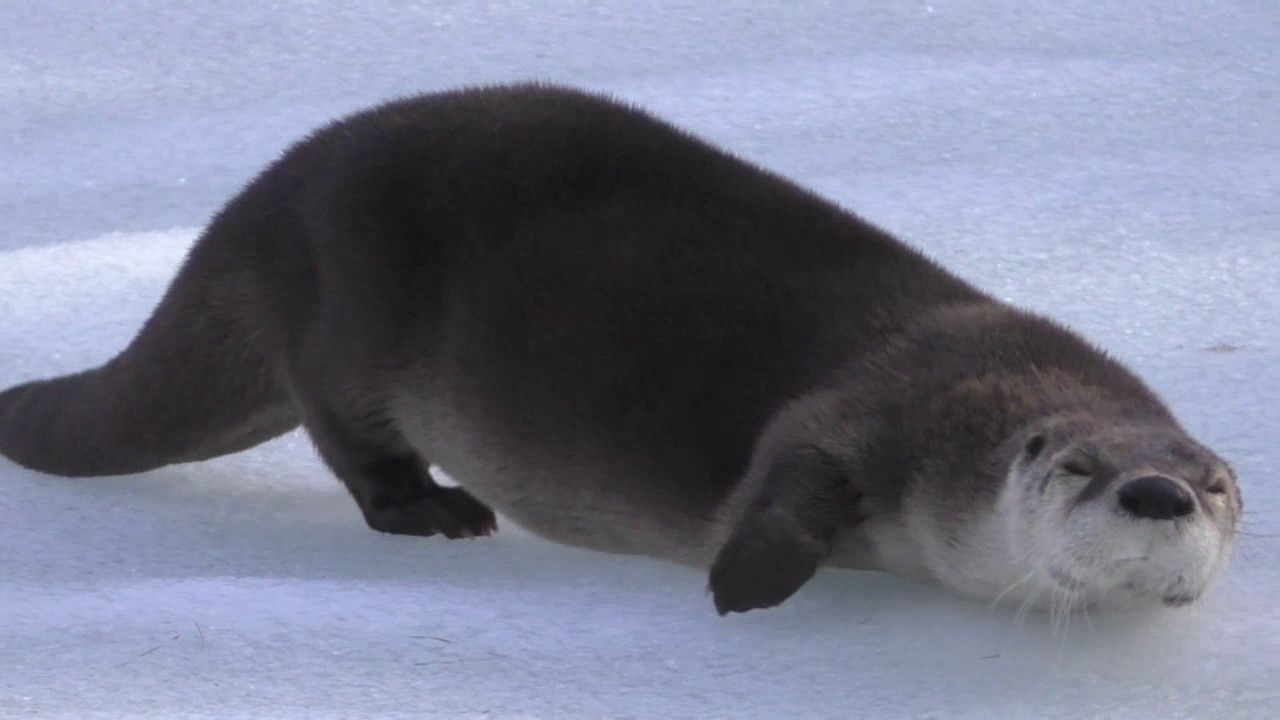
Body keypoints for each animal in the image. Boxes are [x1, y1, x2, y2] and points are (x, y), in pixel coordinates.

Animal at [0, 82, 1242, 615]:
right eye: (1074, 468)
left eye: (1217, 484)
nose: (1154, 495)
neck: (974, 412)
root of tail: (266, 193)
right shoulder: (865, 409)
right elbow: (780, 476)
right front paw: (739, 586)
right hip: (346, 303)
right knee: (348, 436)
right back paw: (433, 509)